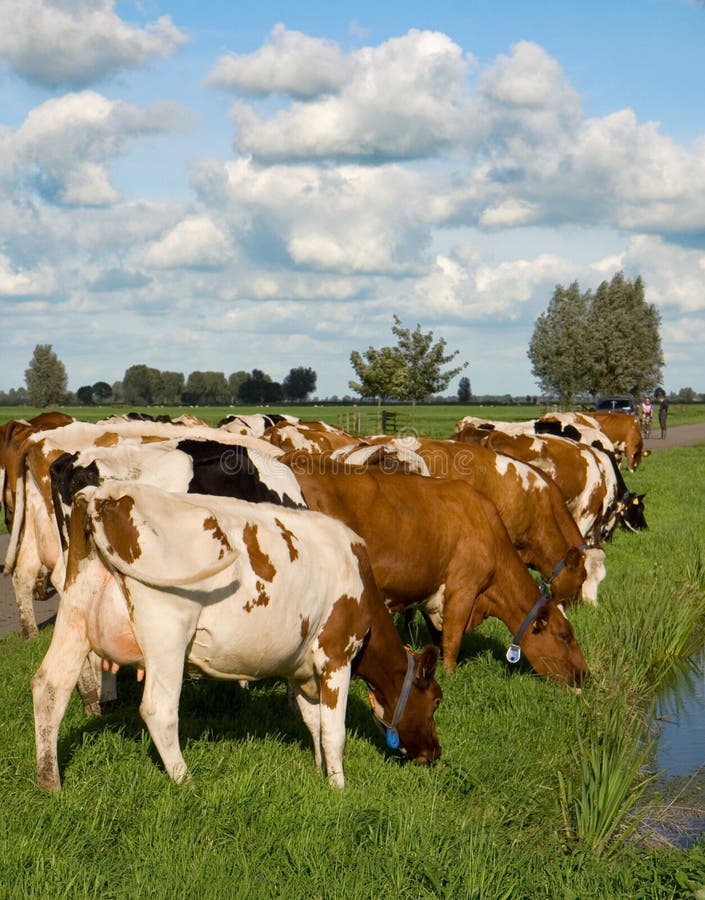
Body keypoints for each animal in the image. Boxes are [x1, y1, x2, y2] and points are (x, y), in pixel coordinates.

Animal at [32, 482, 442, 792]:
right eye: (436, 699)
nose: (435, 753)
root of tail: (107, 493)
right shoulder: (335, 654)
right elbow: (333, 730)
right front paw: (338, 787)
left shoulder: (301, 666)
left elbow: (312, 720)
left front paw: (317, 769)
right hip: (168, 632)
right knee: (158, 709)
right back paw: (186, 782)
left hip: (75, 613)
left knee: (50, 687)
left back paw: (50, 783)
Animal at [289, 463, 588, 684]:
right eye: (565, 636)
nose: (585, 675)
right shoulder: (463, 589)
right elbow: (453, 639)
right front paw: (451, 677)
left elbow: (439, 638)